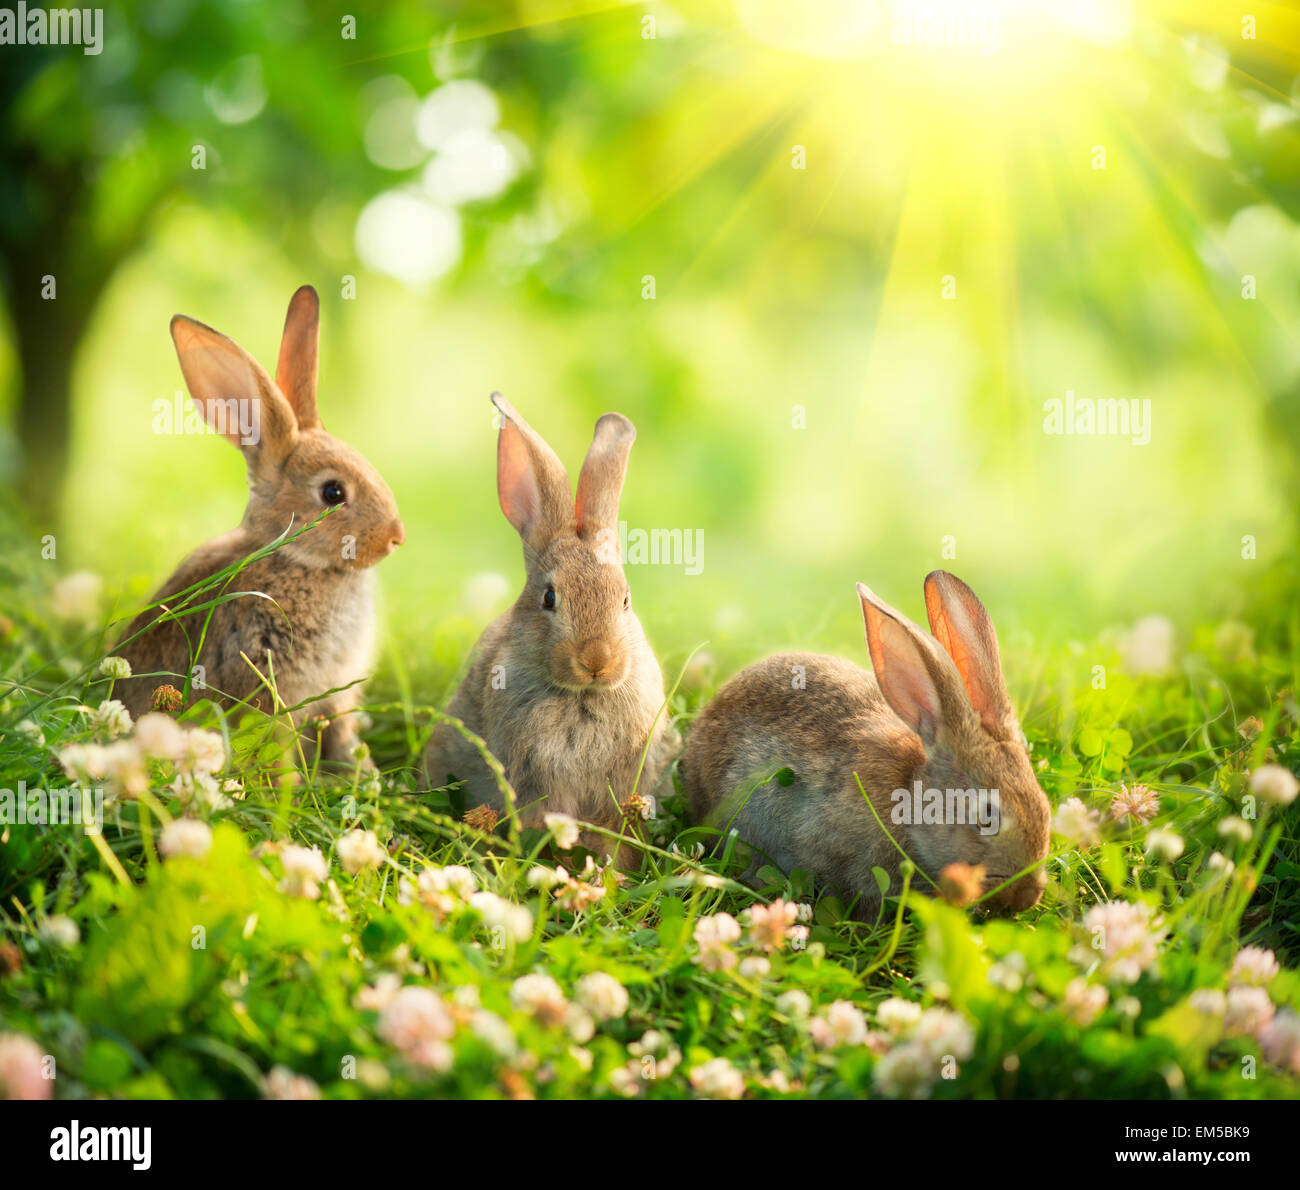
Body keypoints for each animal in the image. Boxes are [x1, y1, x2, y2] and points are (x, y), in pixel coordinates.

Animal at [114, 286, 405, 763]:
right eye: (333, 493)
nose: (396, 538)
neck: (294, 557)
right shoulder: (263, 679)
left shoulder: (336, 696)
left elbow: (342, 734)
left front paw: (361, 771)